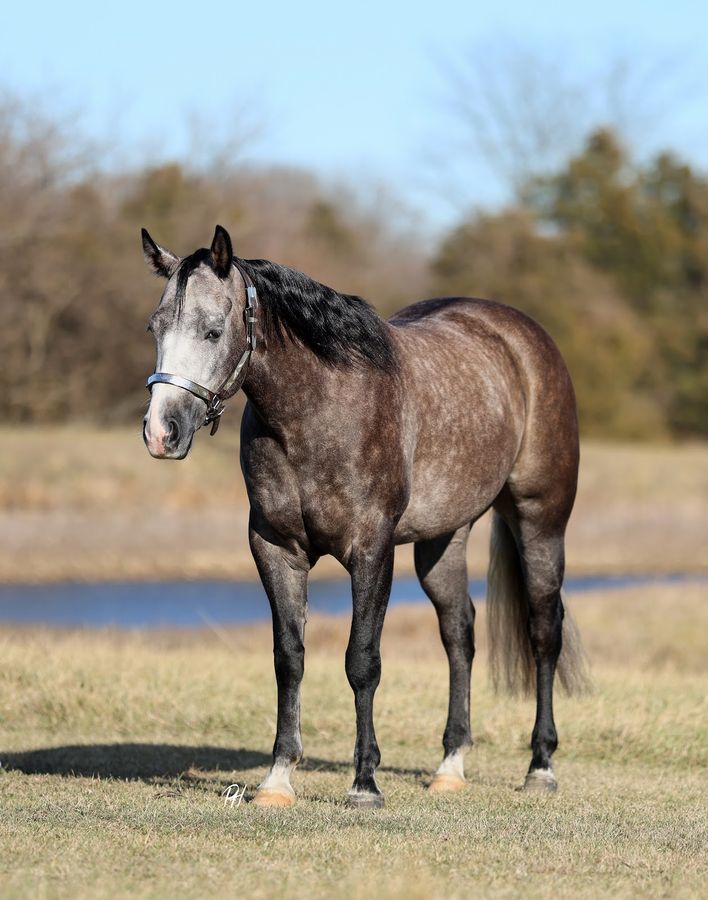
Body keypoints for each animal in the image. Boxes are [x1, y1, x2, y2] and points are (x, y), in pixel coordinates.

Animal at [141, 224, 588, 808]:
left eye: (214, 332)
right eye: (155, 327)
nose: (160, 433)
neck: (321, 410)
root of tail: (523, 337)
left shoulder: (371, 551)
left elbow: (362, 662)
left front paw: (364, 783)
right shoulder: (275, 548)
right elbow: (289, 658)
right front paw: (277, 778)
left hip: (540, 520)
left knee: (542, 631)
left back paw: (540, 766)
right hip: (443, 539)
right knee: (459, 632)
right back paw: (450, 765)